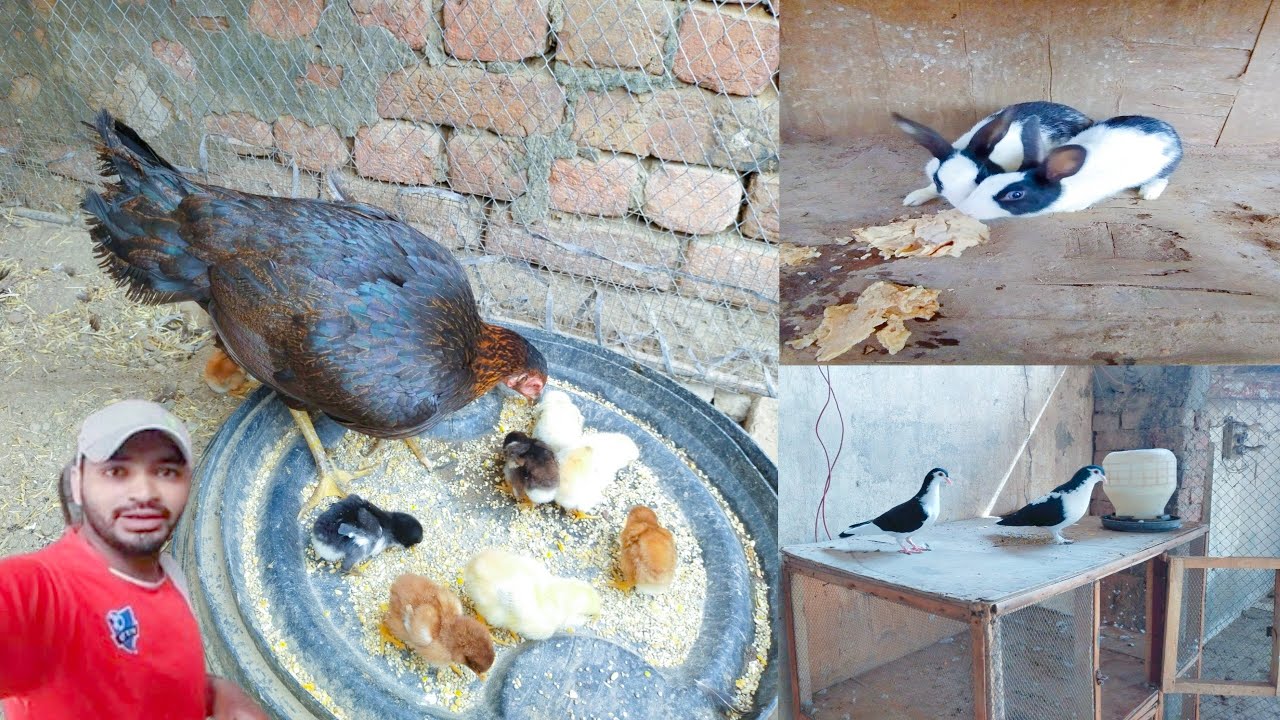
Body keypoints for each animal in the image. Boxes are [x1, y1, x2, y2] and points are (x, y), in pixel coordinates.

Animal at [955, 115, 1183, 221]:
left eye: (1016, 195)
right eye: (989, 181)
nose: (966, 210)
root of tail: (1169, 130)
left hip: (1163, 166)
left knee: (1162, 178)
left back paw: (1149, 193)